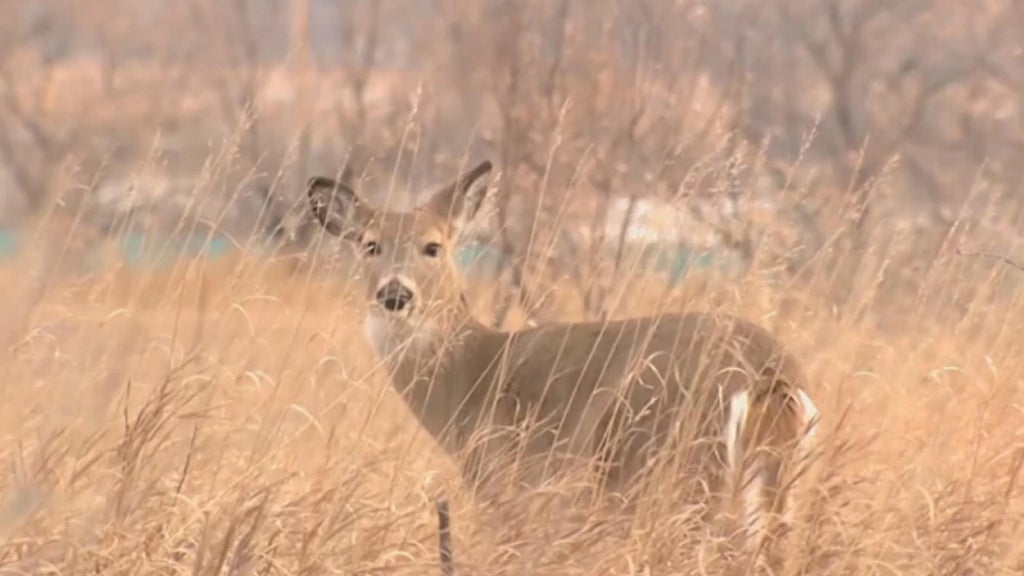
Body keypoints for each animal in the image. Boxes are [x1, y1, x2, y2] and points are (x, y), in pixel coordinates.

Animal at [306, 159, 820, 557]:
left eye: (433, 246)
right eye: (370, 244)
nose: (395, 294)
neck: (473, 377)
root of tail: (766, 371)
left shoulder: (512, 488)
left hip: (678, 469)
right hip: (778, 481)